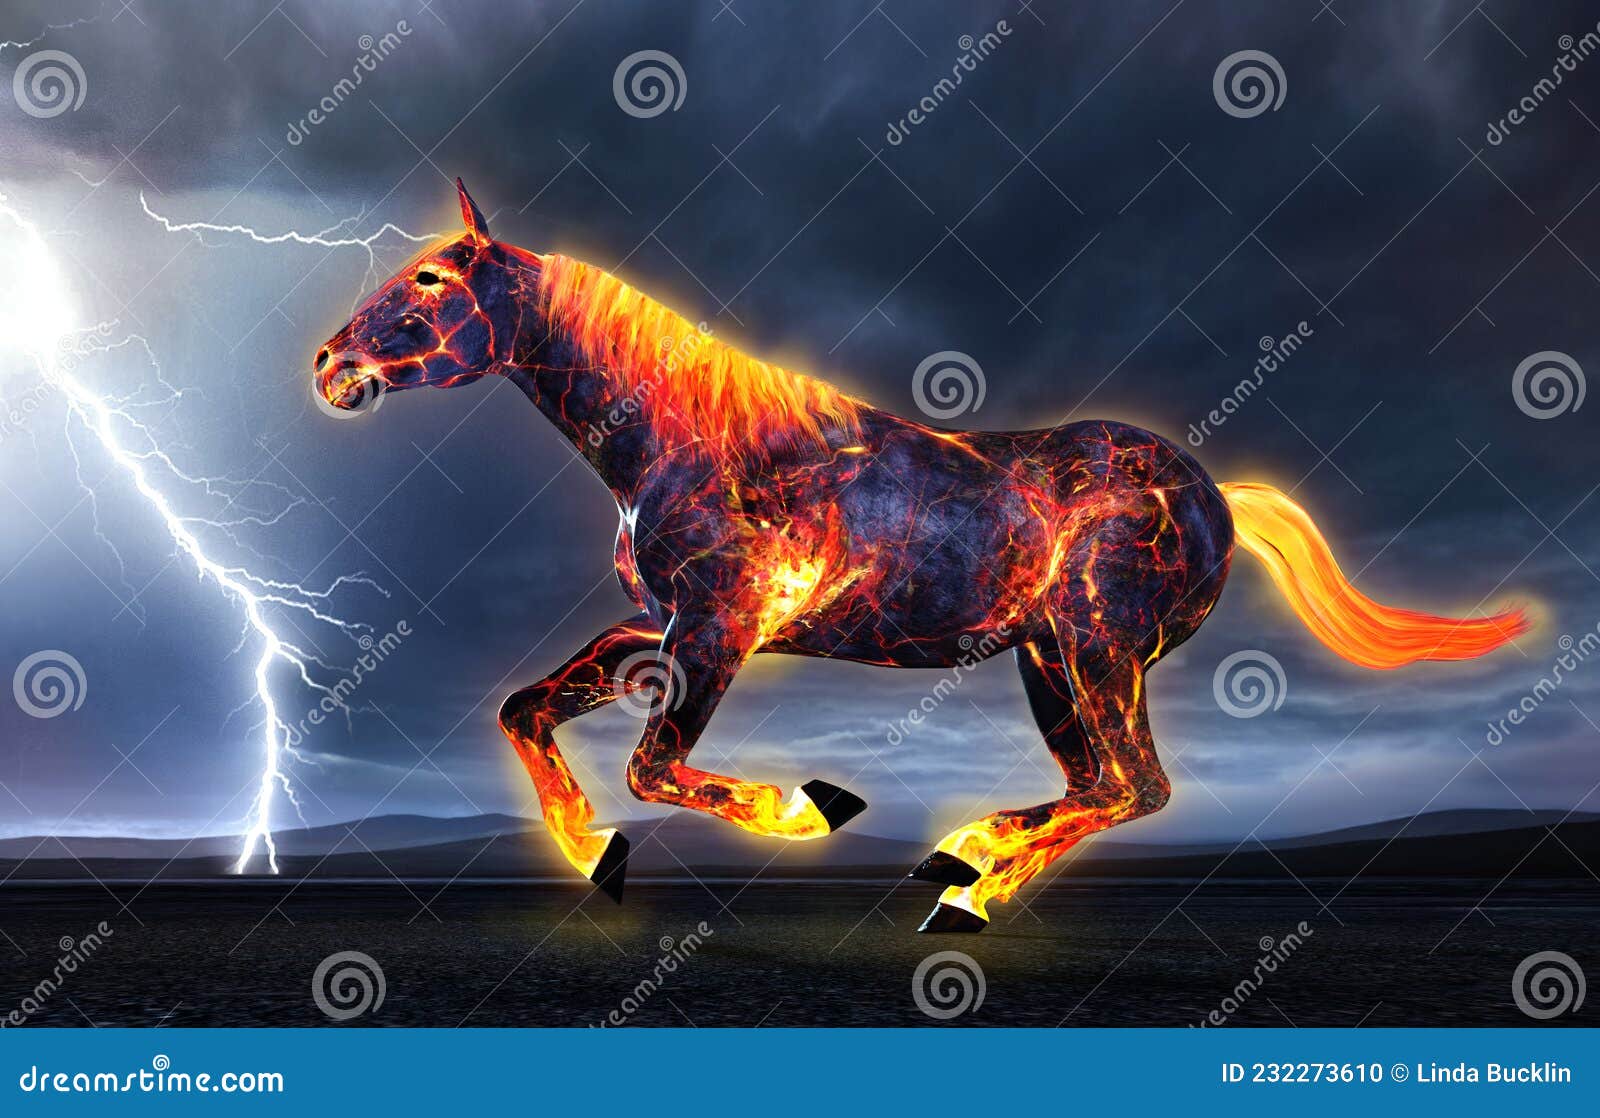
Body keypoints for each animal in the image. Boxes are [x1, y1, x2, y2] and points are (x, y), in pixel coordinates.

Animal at [314, 181, 1529, 932]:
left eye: (432, 280)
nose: (329, 366)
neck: (686, 441)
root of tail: (1214, 496)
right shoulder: (662, 627)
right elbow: (528, 710)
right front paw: (597, 855)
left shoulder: (718, 628)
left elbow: (653, 767)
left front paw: (811, 809)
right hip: (1049, 663)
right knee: (1099, 784)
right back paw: (965, 859)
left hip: (1096, 649)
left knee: (1134, 786)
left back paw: (966, 876)